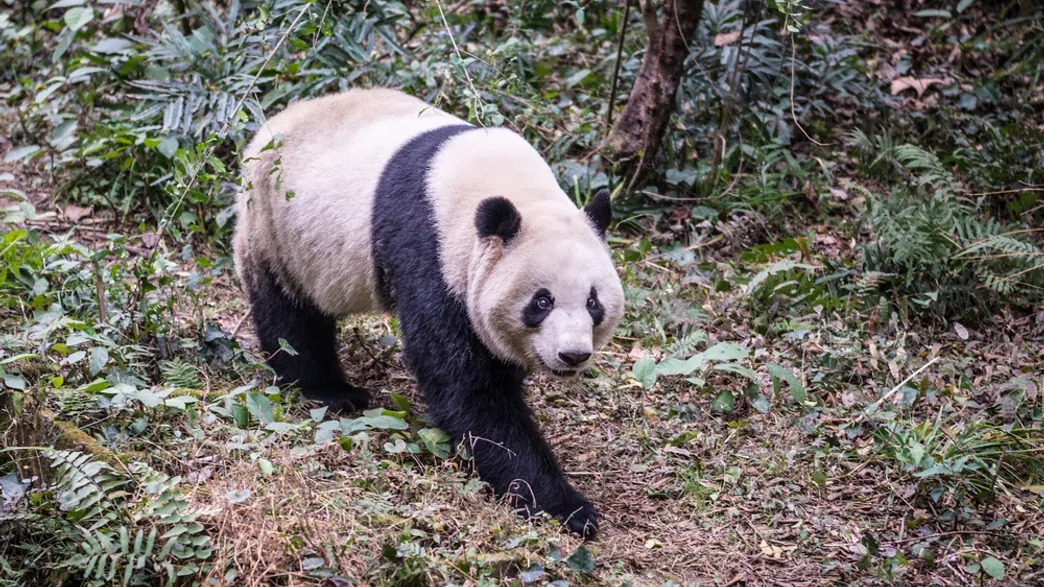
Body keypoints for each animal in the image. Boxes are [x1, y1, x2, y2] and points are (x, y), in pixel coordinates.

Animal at [233, 88, 624, 537]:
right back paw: (331, 390)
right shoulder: (430, 249)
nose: (573, 355)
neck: (514, 189)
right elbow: (465, 385)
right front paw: (563, 505)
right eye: (541, 302)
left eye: (593, 302)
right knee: (290, 319)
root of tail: (269, 127)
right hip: (275, 225)